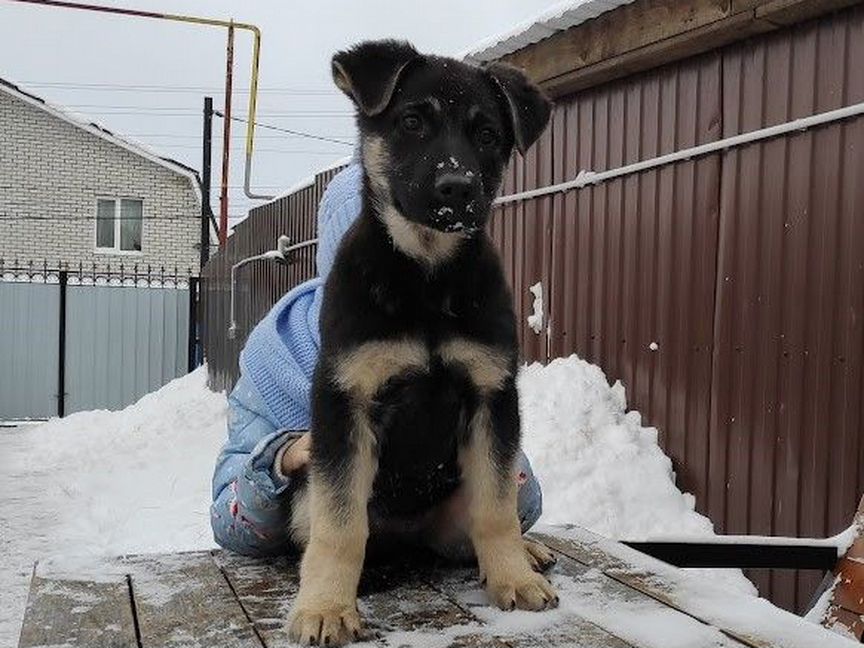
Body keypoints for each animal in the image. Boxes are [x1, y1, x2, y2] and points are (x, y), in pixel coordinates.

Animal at [290, 39, 552, 644]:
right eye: (412, 122)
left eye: (488, 135)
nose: (457, 189)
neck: (427, 277)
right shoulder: (345, 400)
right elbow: (341, 525)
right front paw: (325, 607)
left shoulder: (492, 396)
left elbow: (497, 508)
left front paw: (514, 579)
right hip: (304, 497)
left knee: (479, 524)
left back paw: (527, 553)